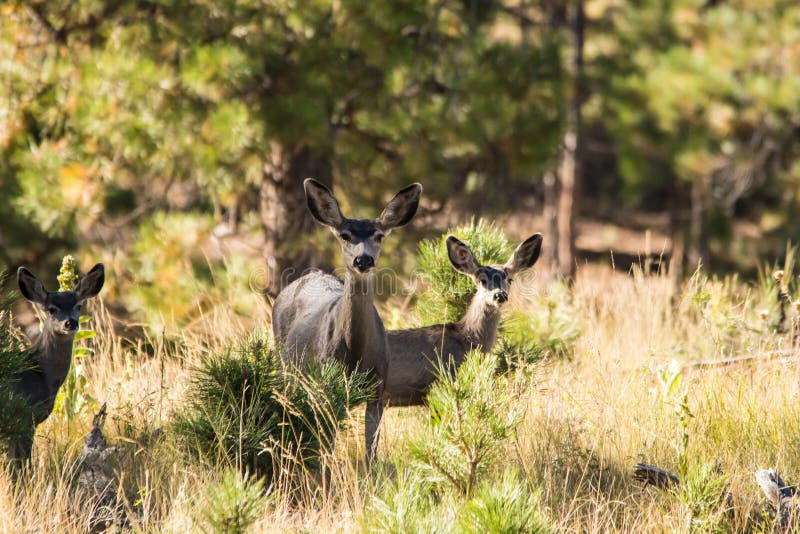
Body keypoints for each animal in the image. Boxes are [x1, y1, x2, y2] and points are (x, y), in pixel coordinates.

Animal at [272, 179, 422, 463]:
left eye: (379, 235)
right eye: (344, 235)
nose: (363, 259)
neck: (356, 352)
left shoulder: (378, 387)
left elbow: (371, 451)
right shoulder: (328, 382)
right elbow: (328, 443)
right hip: (285, 363)